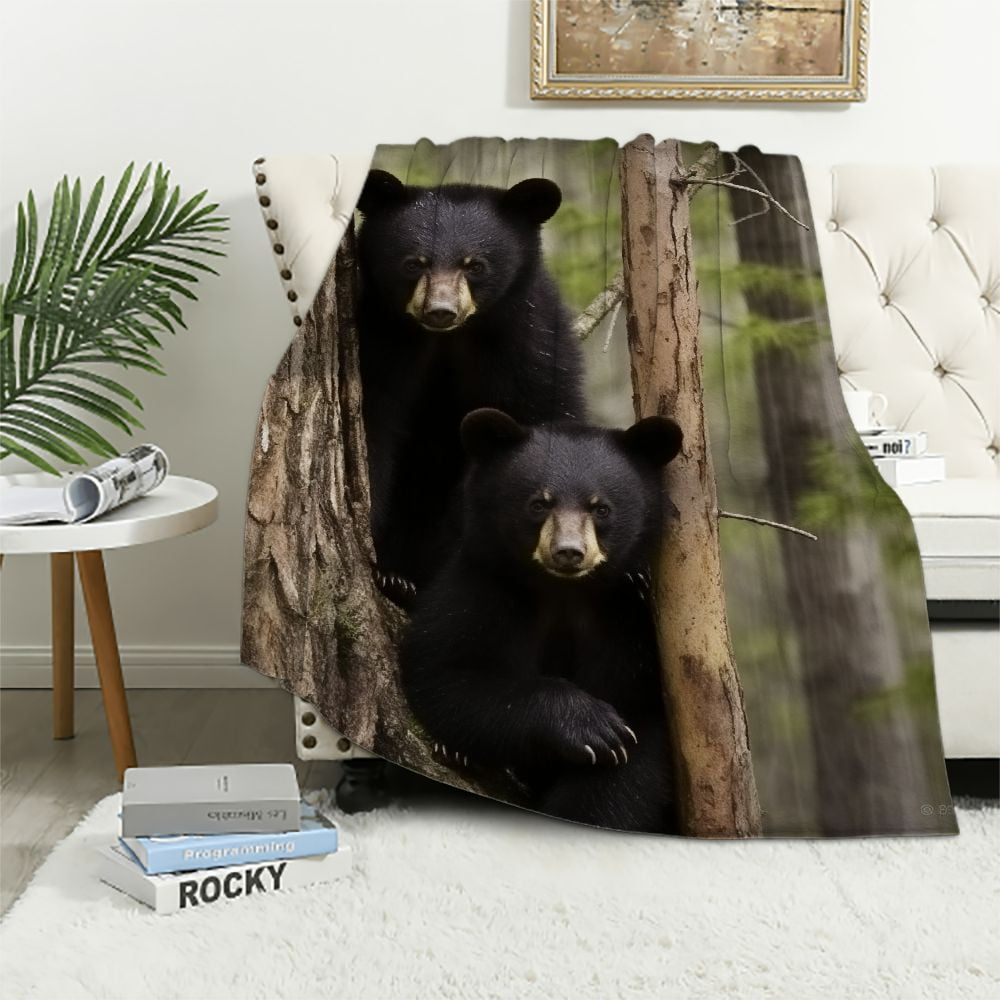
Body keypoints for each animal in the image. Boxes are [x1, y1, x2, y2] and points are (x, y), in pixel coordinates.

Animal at [355, 170, 586, 601]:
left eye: (475, 264)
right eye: (414, 263)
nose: (440, 311)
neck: (451, 338)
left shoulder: (528, 346)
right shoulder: (381, 339)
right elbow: (374, 421)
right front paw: (384, 565)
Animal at [399, 407, 684, 834]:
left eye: (600, 508)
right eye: (539, 503)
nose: (568, 552)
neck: (562, 590)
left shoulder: (626, 619)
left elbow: (631, 757)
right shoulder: (483, 590)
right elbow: (445, 674)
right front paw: (593, 727)